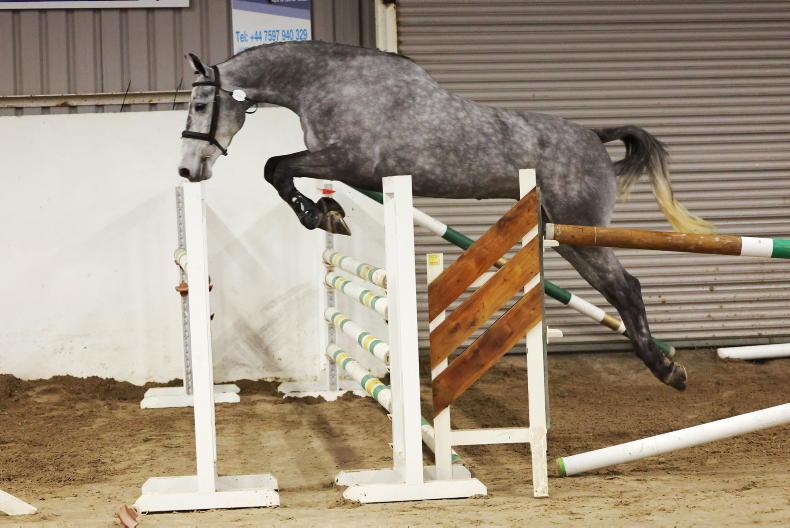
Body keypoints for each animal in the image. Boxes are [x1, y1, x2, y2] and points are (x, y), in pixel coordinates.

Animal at [178, 40, 712, 391]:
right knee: (620, 289)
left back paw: (669, 371)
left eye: (201, 104)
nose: (188, 169)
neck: (329, 84)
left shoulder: (349, 161)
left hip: (581, 231)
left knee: (627, 288)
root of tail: (592, 136)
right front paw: (327, 211)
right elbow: (282, 171)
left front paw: (321, 215)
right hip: (562, 234)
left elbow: (276, 167)